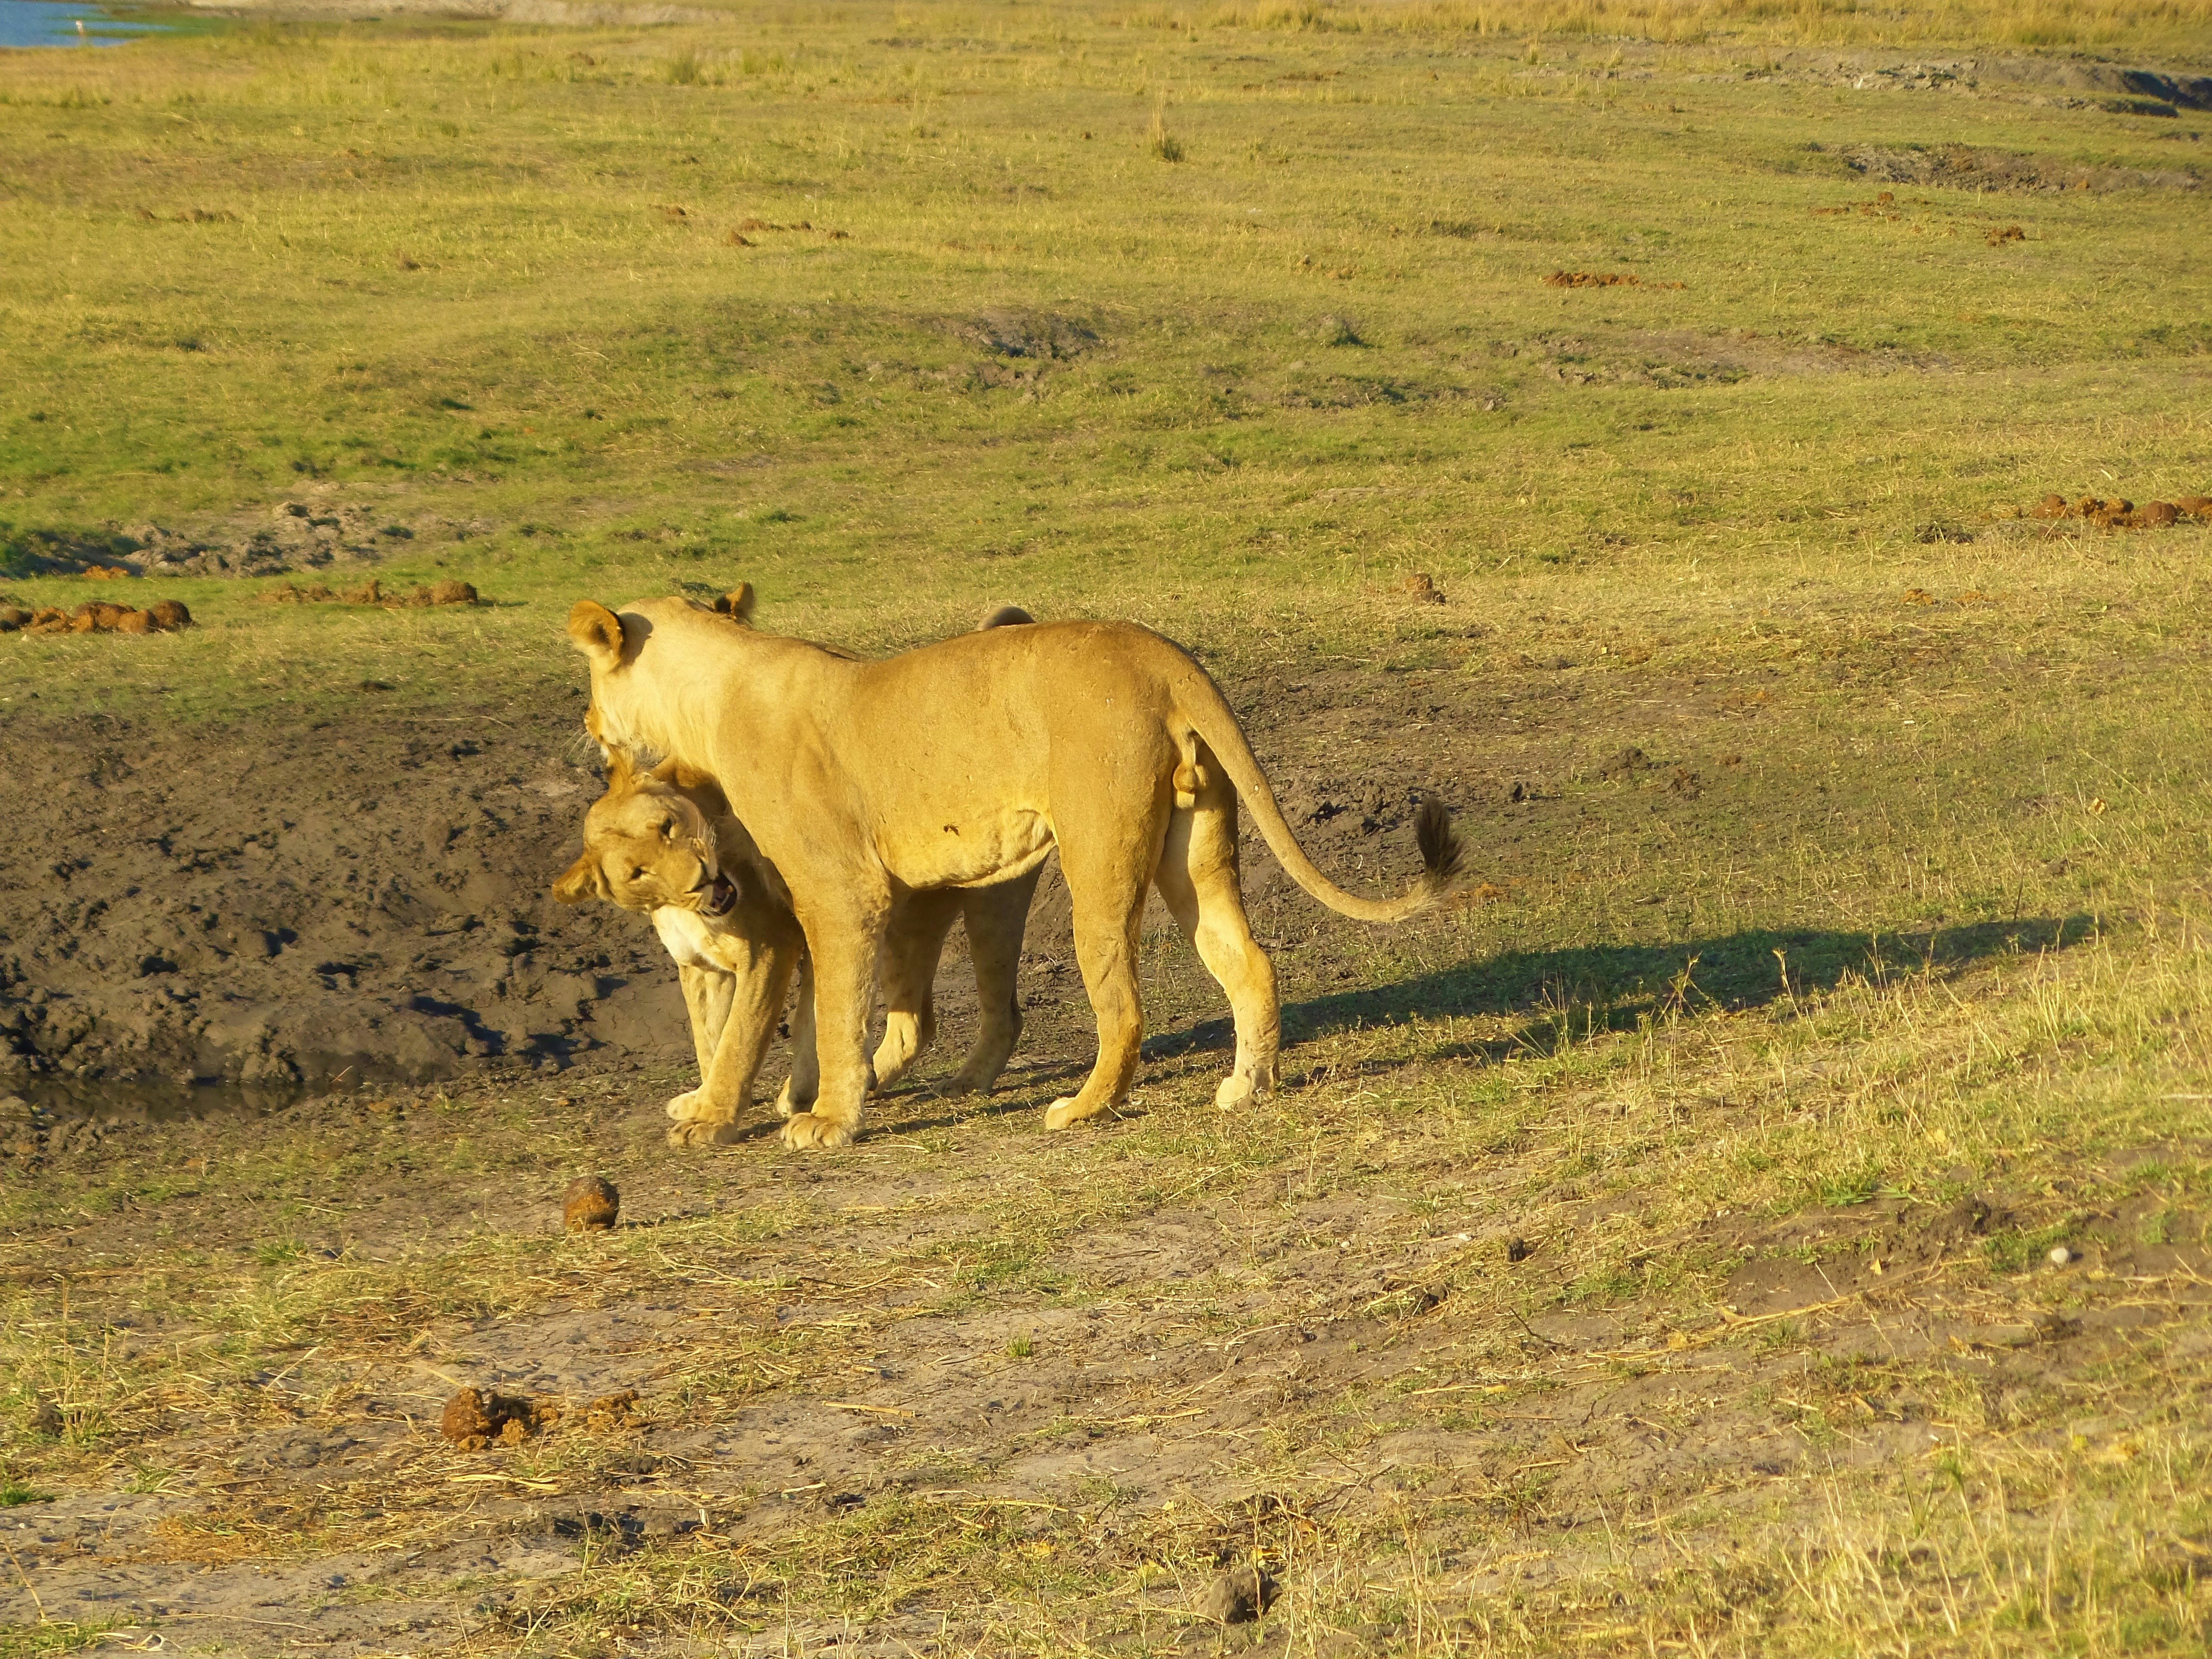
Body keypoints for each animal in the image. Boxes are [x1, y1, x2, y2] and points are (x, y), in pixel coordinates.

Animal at [566, 586, 1461, 1151]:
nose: (587, 727)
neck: (708, 702)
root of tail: (1157, 650)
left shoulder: (838, 892)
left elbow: (827, 1011)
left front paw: (819, 1119)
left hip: (1097, 849)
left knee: (1122, 1006)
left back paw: (1084, 1107)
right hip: (1194, 839)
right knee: (1247, 960)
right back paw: (1247, 1087)